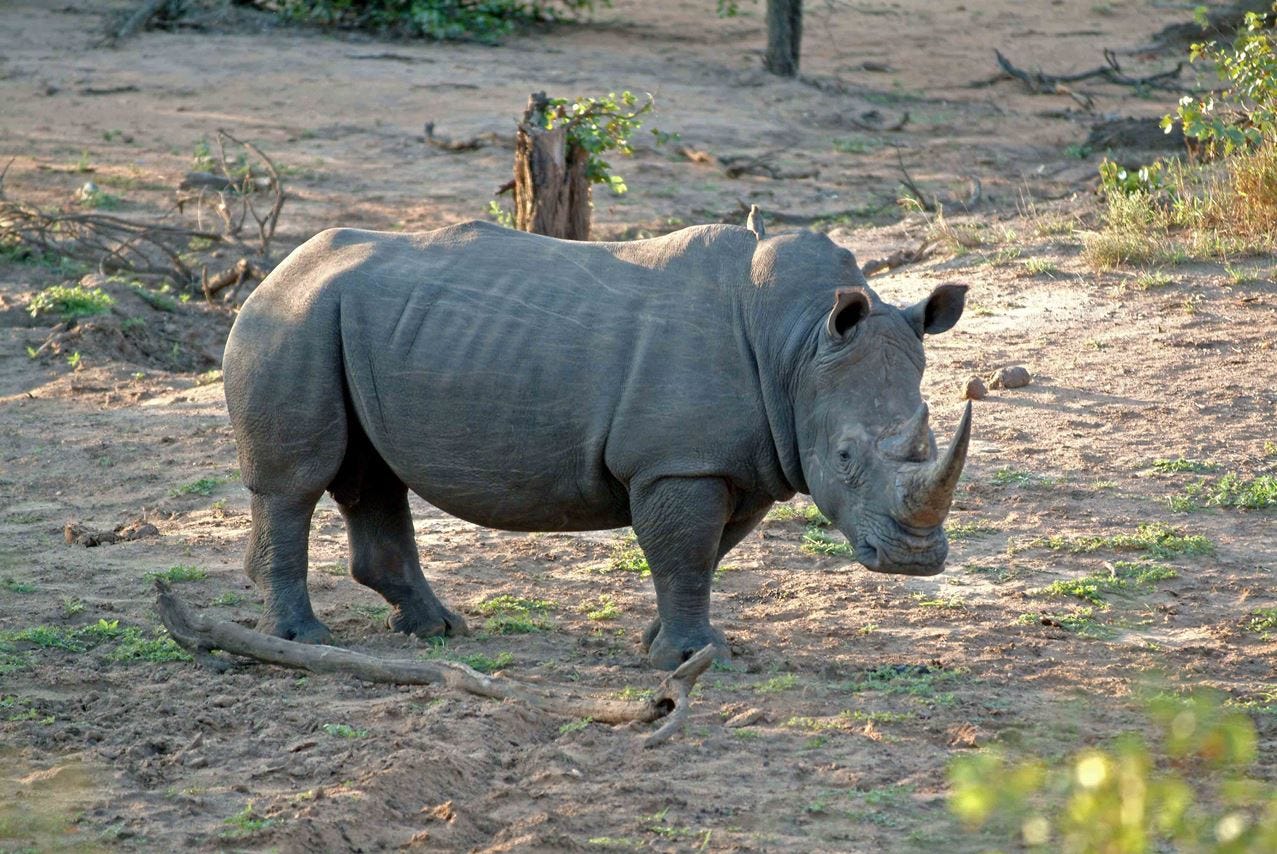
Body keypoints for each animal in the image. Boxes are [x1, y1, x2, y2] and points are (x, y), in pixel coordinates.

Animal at [222, 219, 971, 669]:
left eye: (930, 432)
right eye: (845, 458)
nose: (914, 561)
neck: (800, 340)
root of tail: (275, 270)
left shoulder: (743, 459)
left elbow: (704, 553)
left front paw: (666, 645)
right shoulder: (678, 462)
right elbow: (686, 552)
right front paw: (691, 660)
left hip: (343, 320)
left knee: (372, 475)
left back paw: (437, 630)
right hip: (291, 320)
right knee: (298, 482)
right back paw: (303, 639)